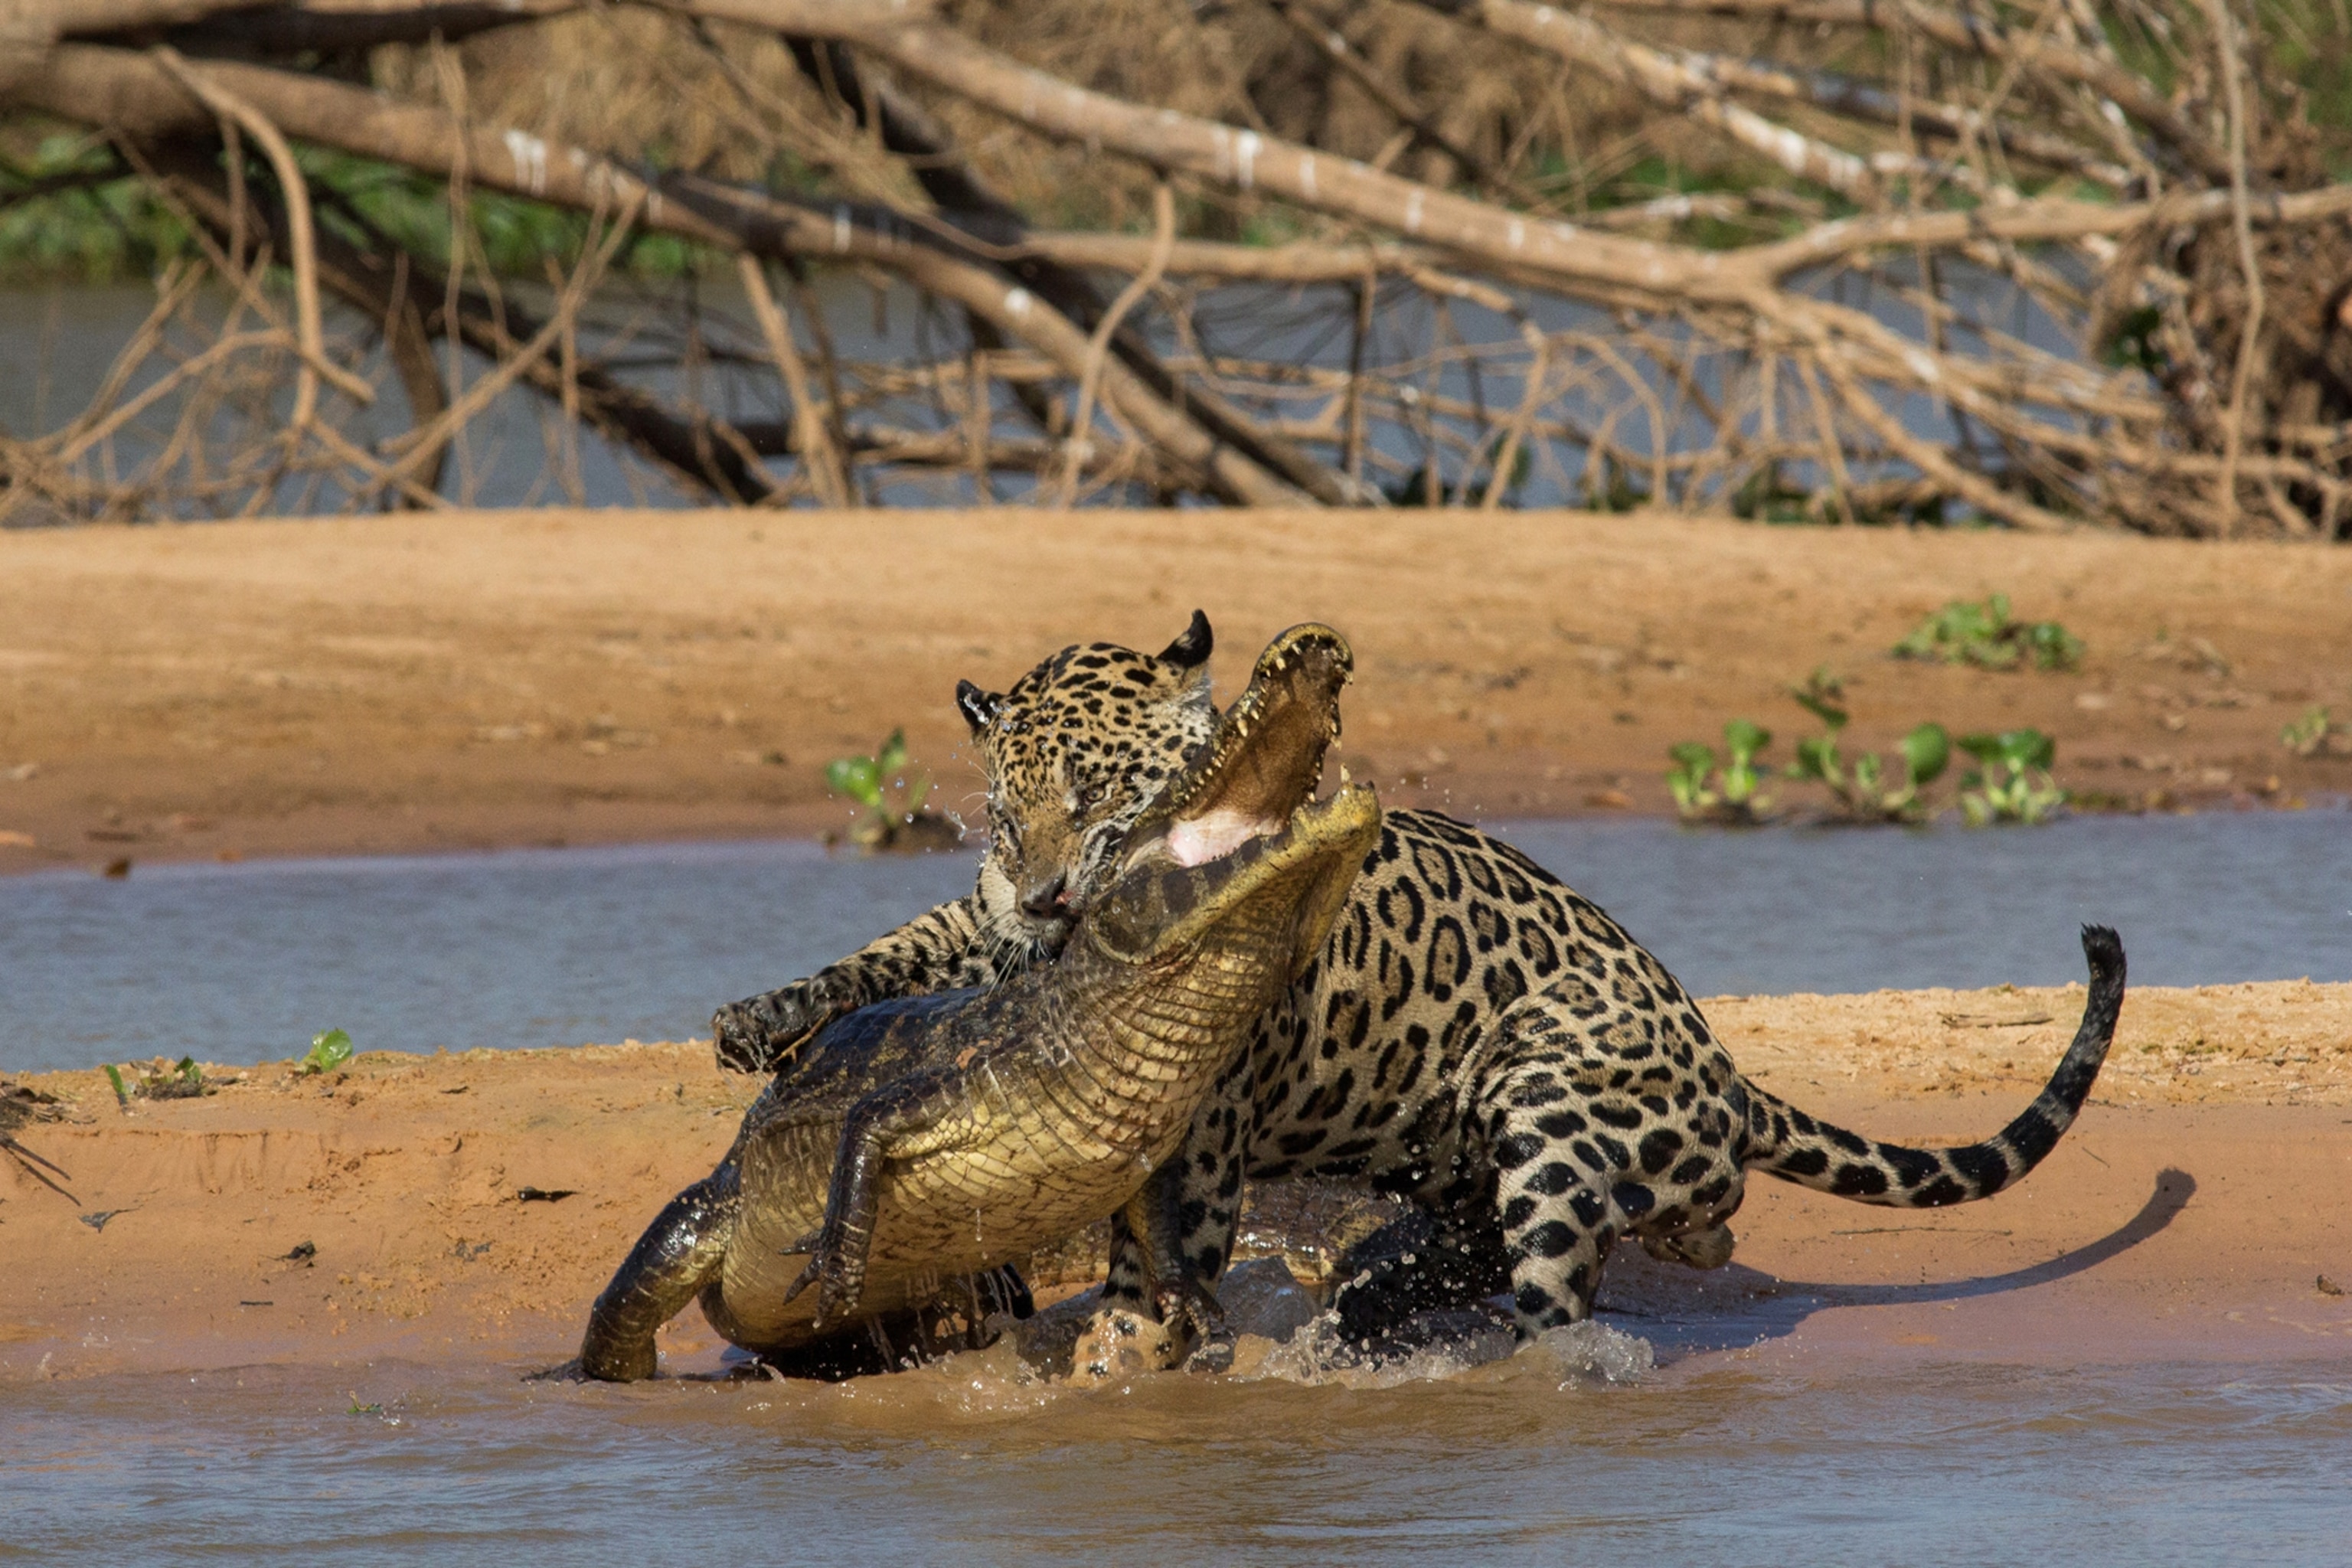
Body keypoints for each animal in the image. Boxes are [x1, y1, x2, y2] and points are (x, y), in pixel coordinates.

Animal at [713, 614, 2126, 1345]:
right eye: (1008, 816)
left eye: (1100, 791)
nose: (1054, 890)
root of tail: (1731, 1075)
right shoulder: (995, 929)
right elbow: (910, 943)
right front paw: (761, 1014)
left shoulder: (1202, 1131)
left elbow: (1158, 1256)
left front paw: (1127, 1355)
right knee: (1509, 1232)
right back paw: (1379, 1294)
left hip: (1547, 1082)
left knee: (1564, 1281)